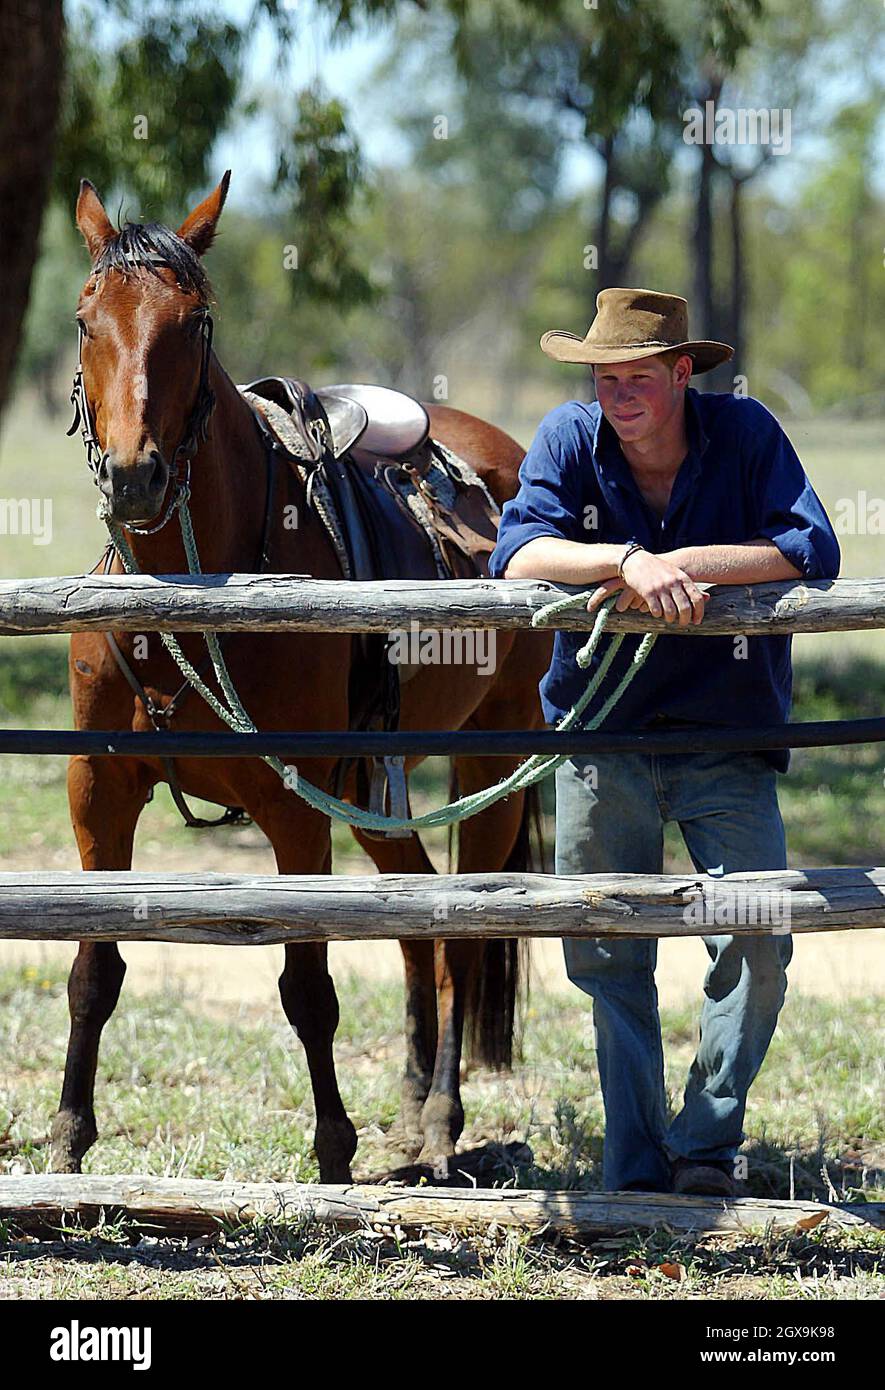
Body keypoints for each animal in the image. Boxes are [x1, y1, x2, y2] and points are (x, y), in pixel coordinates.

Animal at [53, 171, 553, 1184]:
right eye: (86, 318)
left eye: (194, 322)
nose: (134, 477)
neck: (188, 597)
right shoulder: (99, 791)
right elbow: (94, 970)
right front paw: (68, 1143)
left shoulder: (293, 807)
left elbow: (308, 987)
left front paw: (331, 1158)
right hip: (369, 790)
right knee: (415, 925)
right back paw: (412, 1100)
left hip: (487, 766)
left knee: (461, 937)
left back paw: (439, 1120)